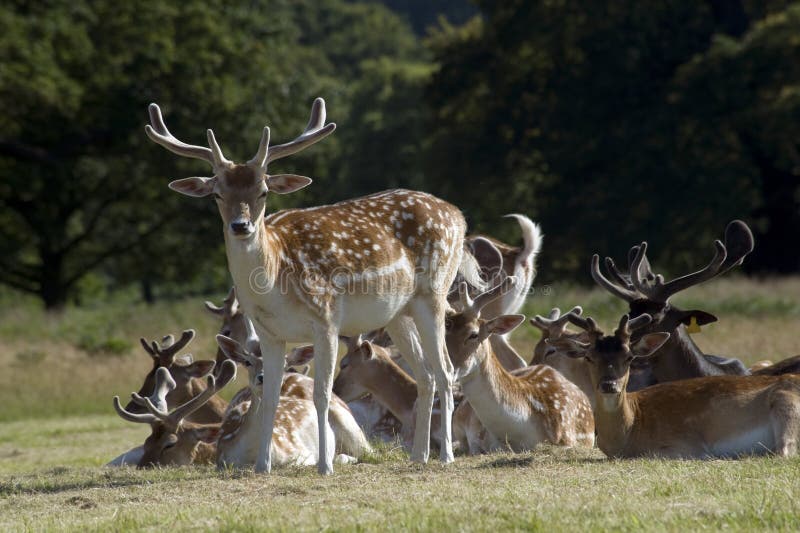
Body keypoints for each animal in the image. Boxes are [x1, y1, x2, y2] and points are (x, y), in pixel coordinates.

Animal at [548, 313, 800, 459]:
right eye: (589, 357)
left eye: (629, 357)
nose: (609, 384)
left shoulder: (684, 443)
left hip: (786, 402)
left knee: (785, 451)